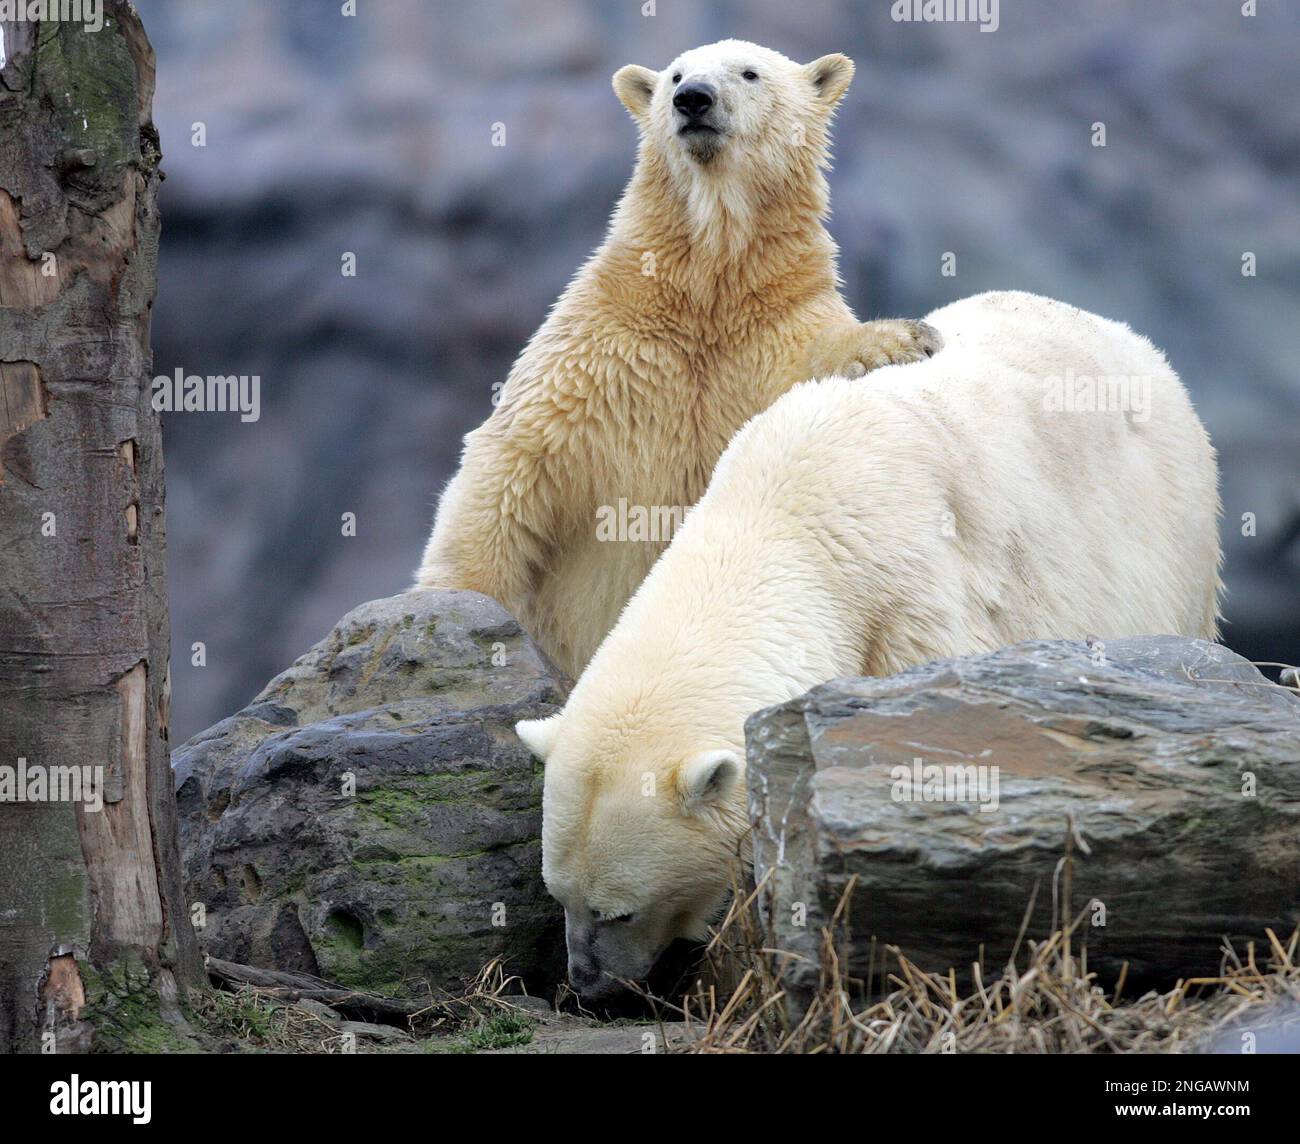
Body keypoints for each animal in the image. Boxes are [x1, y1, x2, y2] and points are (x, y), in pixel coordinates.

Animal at [416, 39, 941, 678]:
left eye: (749, 72)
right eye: (674, 75)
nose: (693, 99)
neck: (704, 296)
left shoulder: (768, 334)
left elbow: (811, 363)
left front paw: (904, 338)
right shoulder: (602, 346)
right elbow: (516, 458)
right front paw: (453, 604)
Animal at [516, 290, 1223, 999]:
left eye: (619, 911)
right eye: (560, 896)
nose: (585, 982)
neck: (791, 520)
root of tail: (1130, 340)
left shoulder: (915, 601)